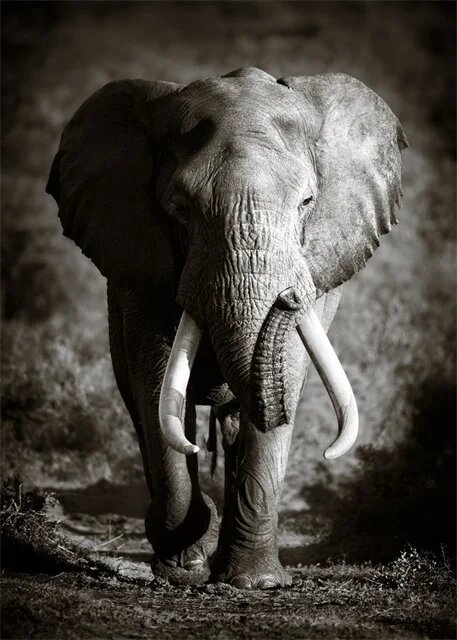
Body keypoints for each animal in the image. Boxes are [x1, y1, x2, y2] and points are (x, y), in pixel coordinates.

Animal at [46, 67, 407, 589]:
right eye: (179, 208)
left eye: (307, 202)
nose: (288, 297)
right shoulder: (140, 264)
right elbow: (155, 383)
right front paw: (184, 570)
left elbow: (287, 373)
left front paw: (256, 583)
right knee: (140, 407)